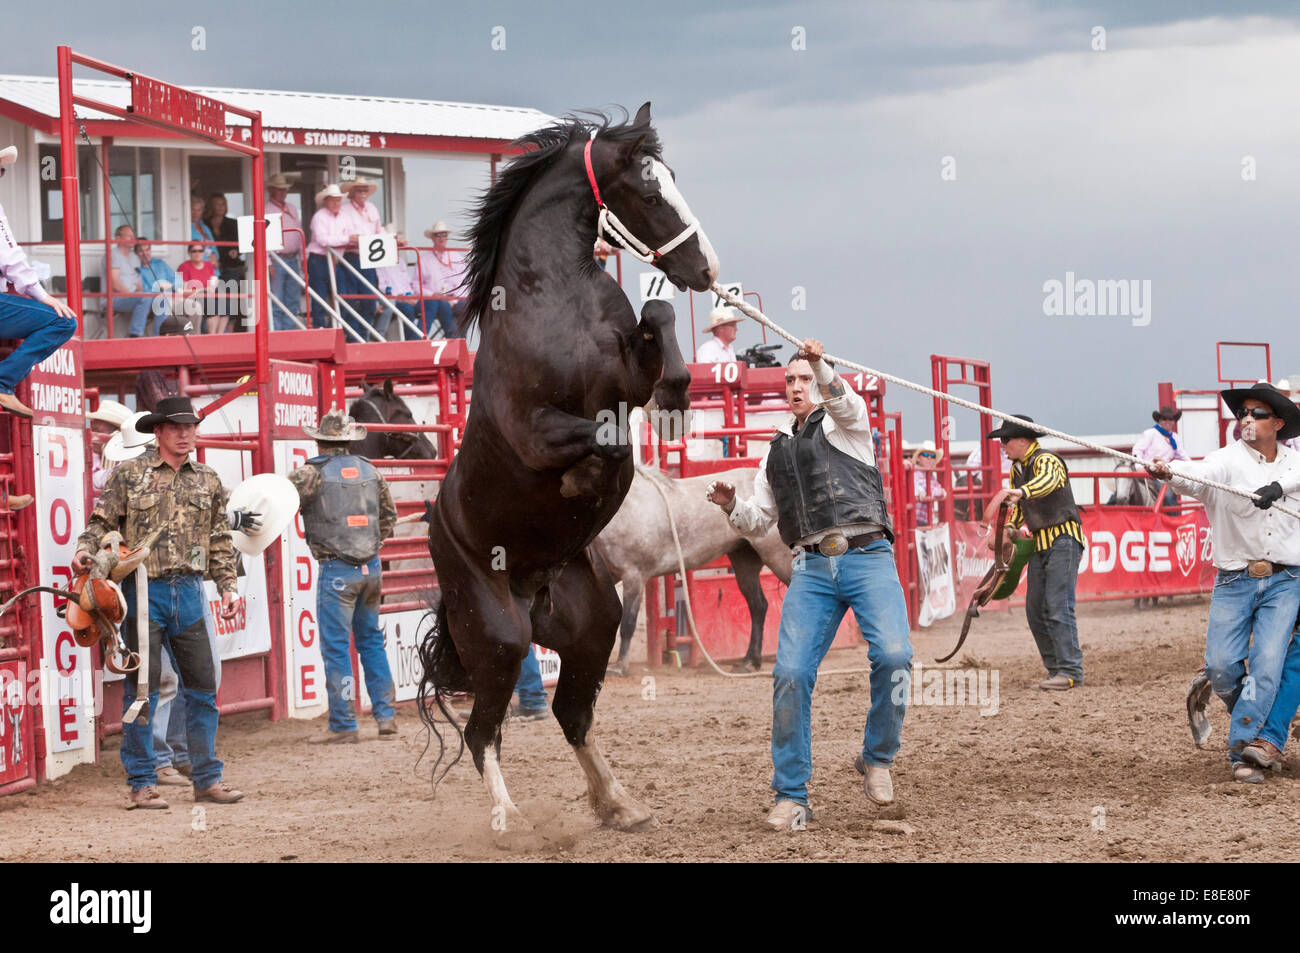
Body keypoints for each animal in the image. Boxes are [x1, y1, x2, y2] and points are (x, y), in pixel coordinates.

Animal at [417, 104, 719, 834]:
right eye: (649, 192)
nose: (706, 268)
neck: (553, 297)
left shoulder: (627, 370)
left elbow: (657, 316)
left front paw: (676, 400)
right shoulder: (537, 432)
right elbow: (603, 440)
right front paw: (586, 477)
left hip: (592, 627)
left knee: (570, 712)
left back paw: (620, 802)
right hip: (500, 637)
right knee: (484, 731)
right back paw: (510, 820)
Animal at [596, 465, 792, 677]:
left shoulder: (634, 576)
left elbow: (627, 624)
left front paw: (619, 667)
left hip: (779, 558)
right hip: (744, 562)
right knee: (758, 606)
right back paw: (749, 662)